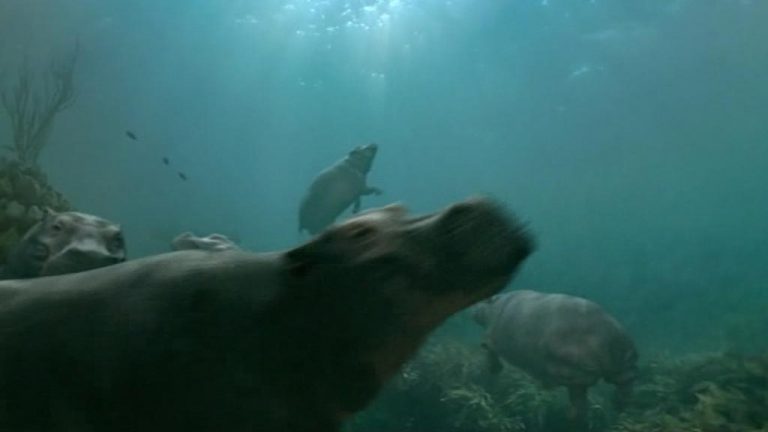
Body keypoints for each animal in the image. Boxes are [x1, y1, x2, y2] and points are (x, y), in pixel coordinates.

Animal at [472, 290, 638, 427]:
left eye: (487, 299)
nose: (475, 305)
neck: (495, 304)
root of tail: (610, 338)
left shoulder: (489, 339)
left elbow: (489, 353)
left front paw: (494, 370)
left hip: (572, 370)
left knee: (579, 400)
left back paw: (568, 415)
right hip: (625, 365)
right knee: (624, 385)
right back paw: (619, 406)